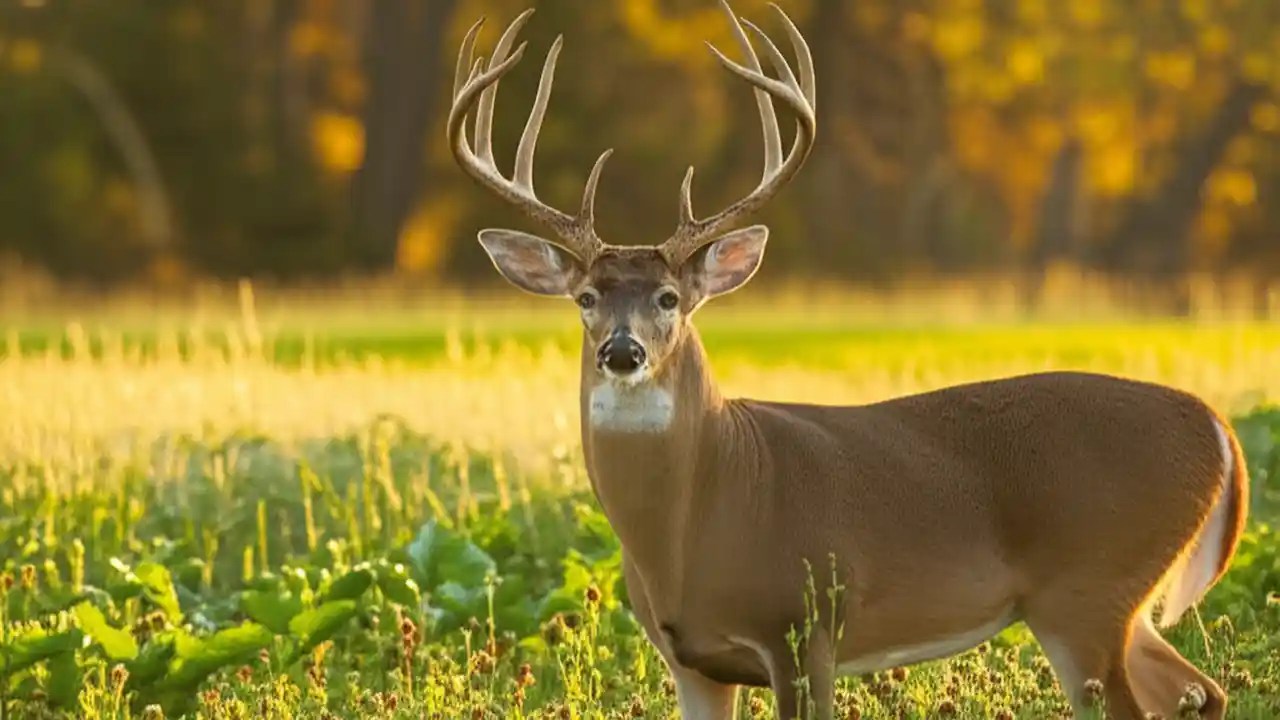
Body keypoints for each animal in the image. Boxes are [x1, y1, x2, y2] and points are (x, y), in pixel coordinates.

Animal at [445, 3, 1249, 719]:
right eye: (585, 296)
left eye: (671, 297)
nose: (623, 349)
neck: (696, 521)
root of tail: (1218, 428)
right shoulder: (689, 659)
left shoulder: (805, 620)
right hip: (1110, 603)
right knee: (1201, 692)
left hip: (1089, 589)